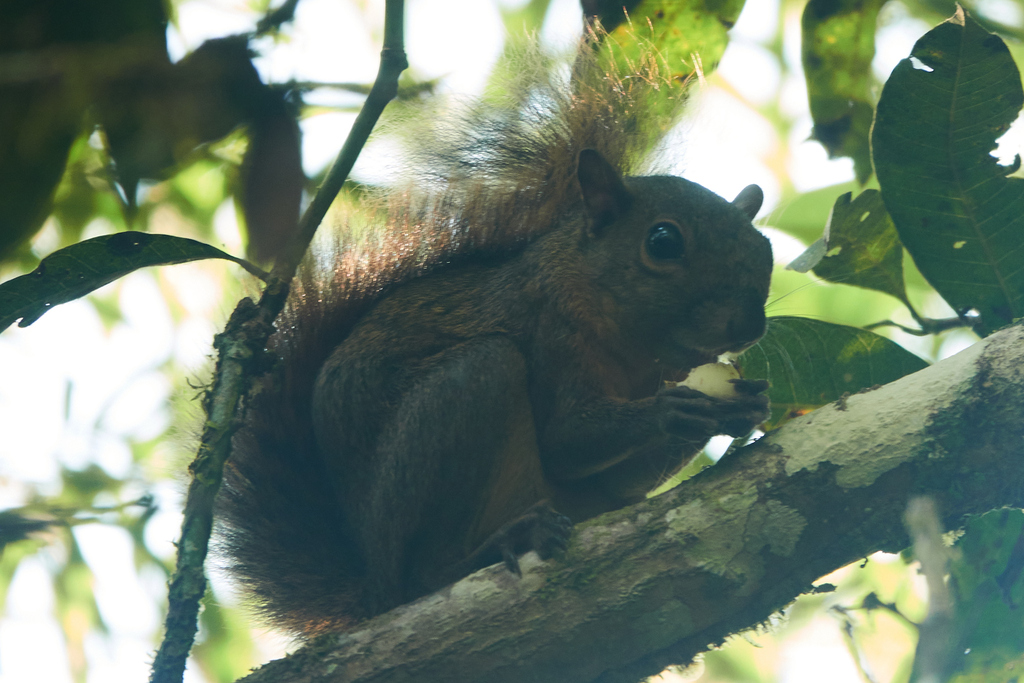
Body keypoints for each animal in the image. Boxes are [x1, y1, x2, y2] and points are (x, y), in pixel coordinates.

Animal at [215, 40, 774, 638]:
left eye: (765, 250)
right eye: (663, 242)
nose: (748, 326)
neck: (637, 355)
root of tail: (373, 586)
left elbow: (623, 481)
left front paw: (747, 407)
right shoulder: (550, 326)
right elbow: (565, 438)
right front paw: (674, 410)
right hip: (467, 392)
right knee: (423, 575)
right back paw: (497, 546)